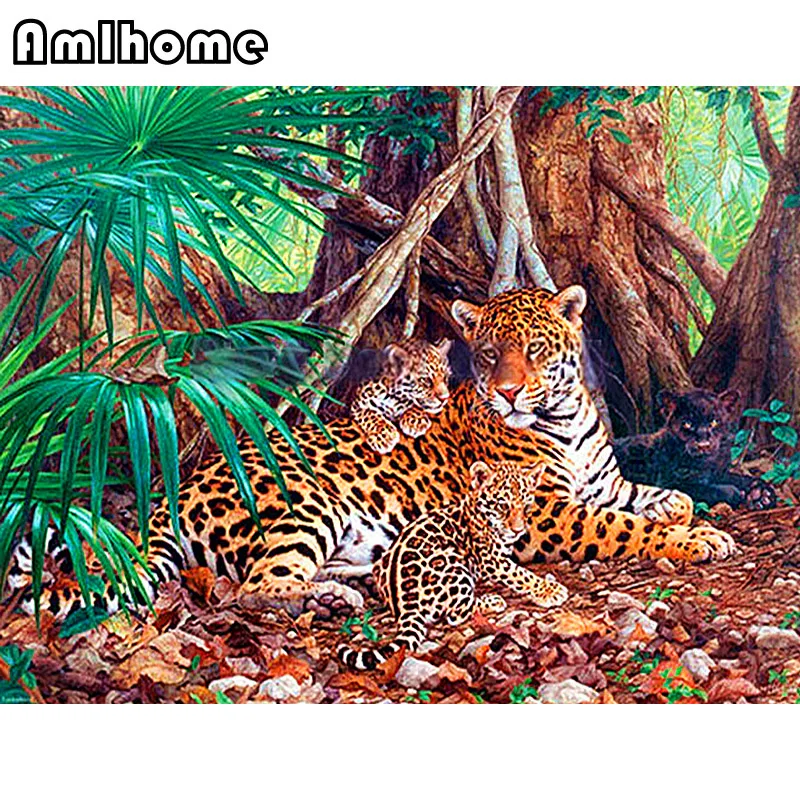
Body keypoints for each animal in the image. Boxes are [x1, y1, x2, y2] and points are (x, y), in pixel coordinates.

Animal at [6, 286, 736, 622]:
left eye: (534, 349)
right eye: (488, 354)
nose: (506, 393)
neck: (564, 414)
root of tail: (168, 499)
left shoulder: (603, 483)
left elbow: (661, 498)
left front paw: (698, 518)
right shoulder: (549, 513)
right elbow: (625, 528)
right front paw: (695, 541)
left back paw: (358, 583)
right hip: (309, 505)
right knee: (258, 586)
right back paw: (336, 599)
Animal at [337, 460, 568, 671]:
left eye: (527, 506)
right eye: (503, 506)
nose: (518, 531)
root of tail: (404, 603)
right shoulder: (491, 560)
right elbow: (520, 574)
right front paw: (550, 591)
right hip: (452, 564)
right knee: (456, 614)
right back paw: (492, 601)